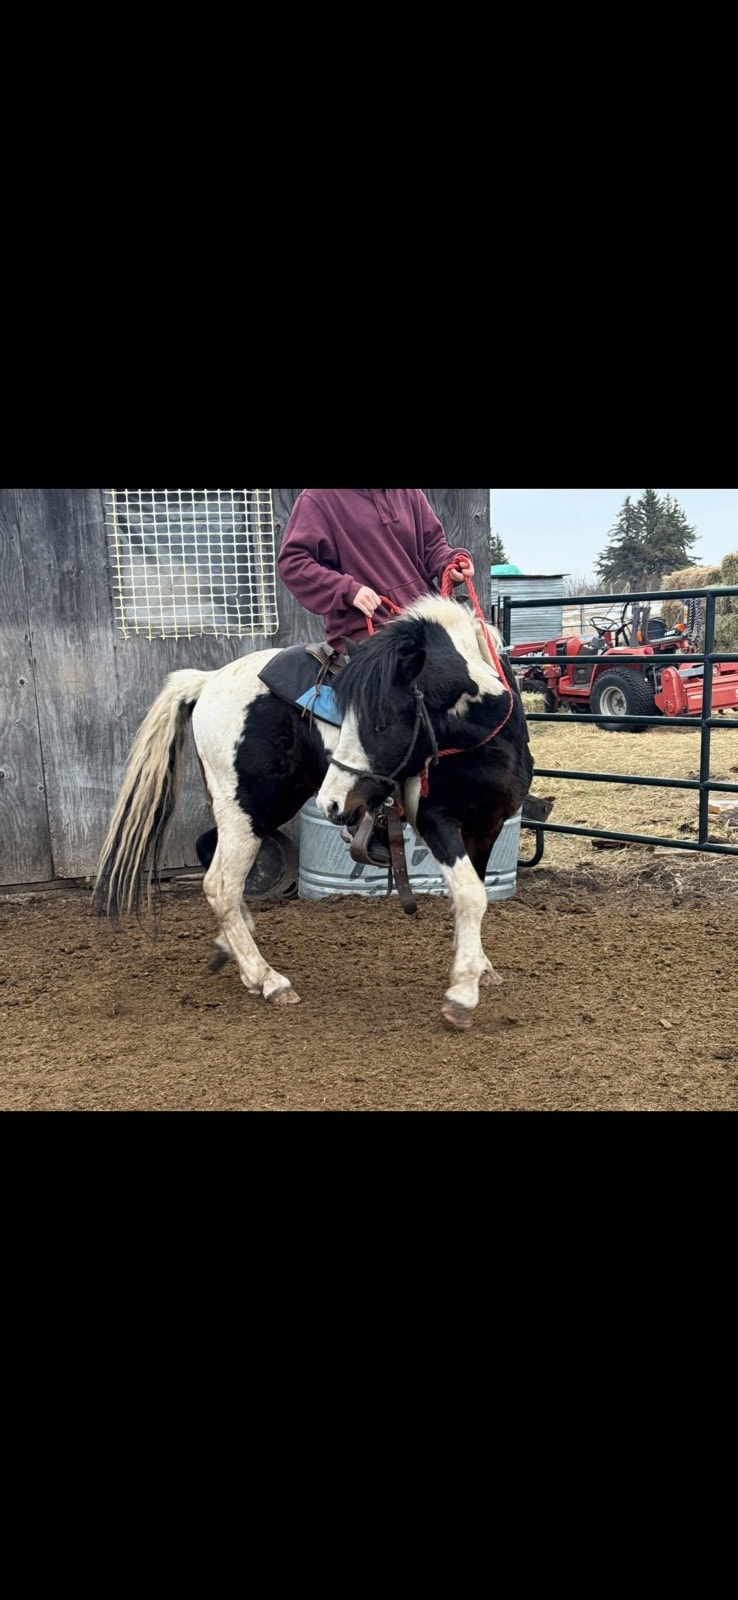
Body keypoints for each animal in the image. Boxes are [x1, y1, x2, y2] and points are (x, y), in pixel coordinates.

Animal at [93, 594, 534, 1030]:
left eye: (381, 723)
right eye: (345, 718)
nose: (331, 804)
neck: (483, 741)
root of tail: (209, 679)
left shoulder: (488, 824)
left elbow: (474, 892)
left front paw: (479, 967)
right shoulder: (436, 821)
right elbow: (471, 895)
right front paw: (461, 994)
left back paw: (232, 948)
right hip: (247, 812)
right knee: (221, 884)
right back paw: (267, 979)